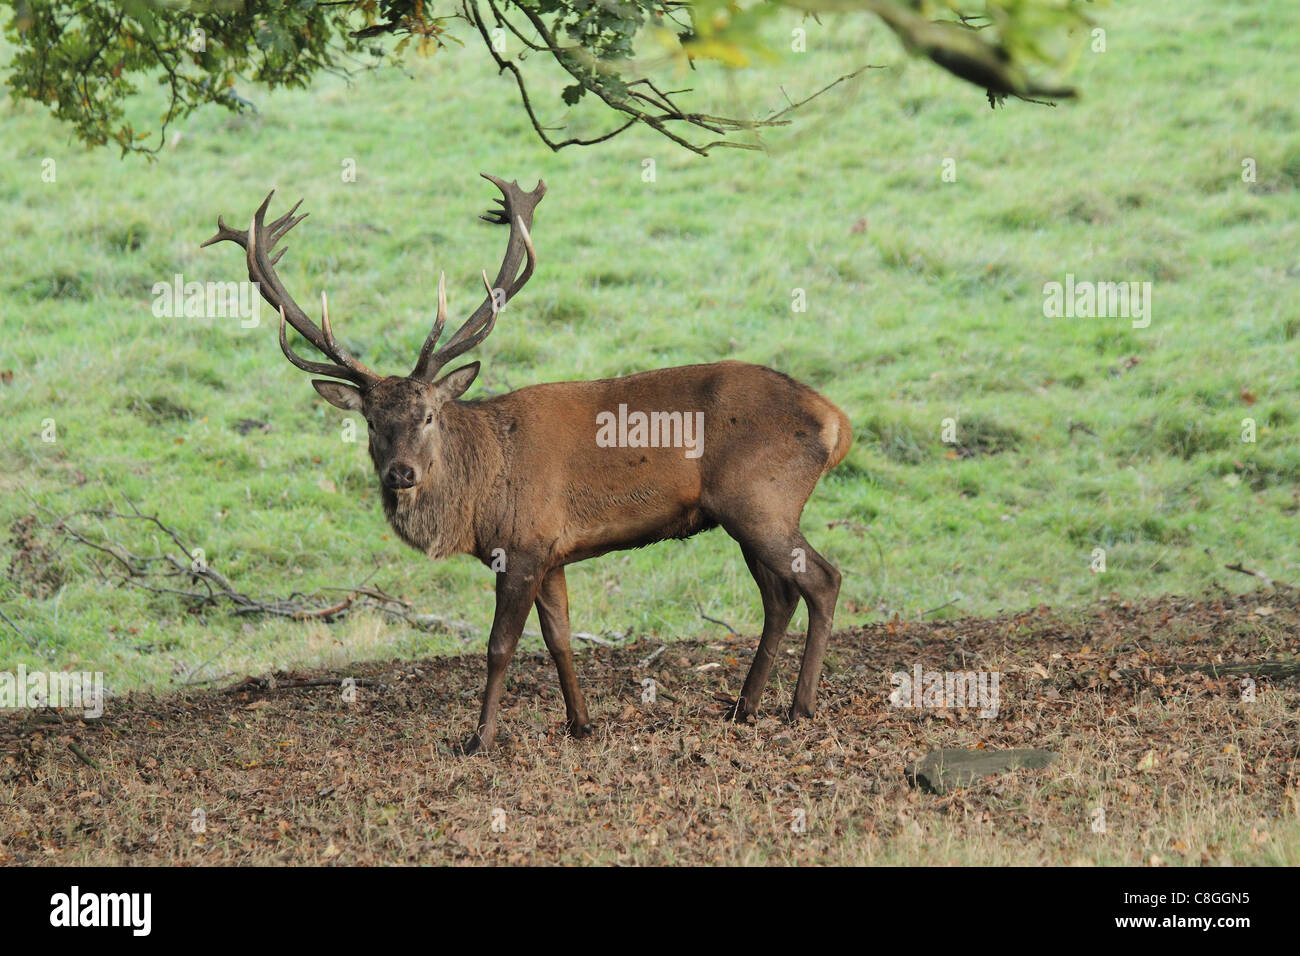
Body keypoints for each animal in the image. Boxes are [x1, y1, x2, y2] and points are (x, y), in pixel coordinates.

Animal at [204, 174, 852, 753]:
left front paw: (479, 738)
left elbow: (500, 646)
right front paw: (581, 724)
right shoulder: (553, 552)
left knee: (823, 579)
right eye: (370, 422)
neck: (477, 498)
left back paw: (798, 707)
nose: (401, 473)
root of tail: (836, 419)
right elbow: (560, 638)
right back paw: (744, 707)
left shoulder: (521, 545)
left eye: (429, 416)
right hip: (744, 515)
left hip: (761, 501)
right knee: (779, 596)